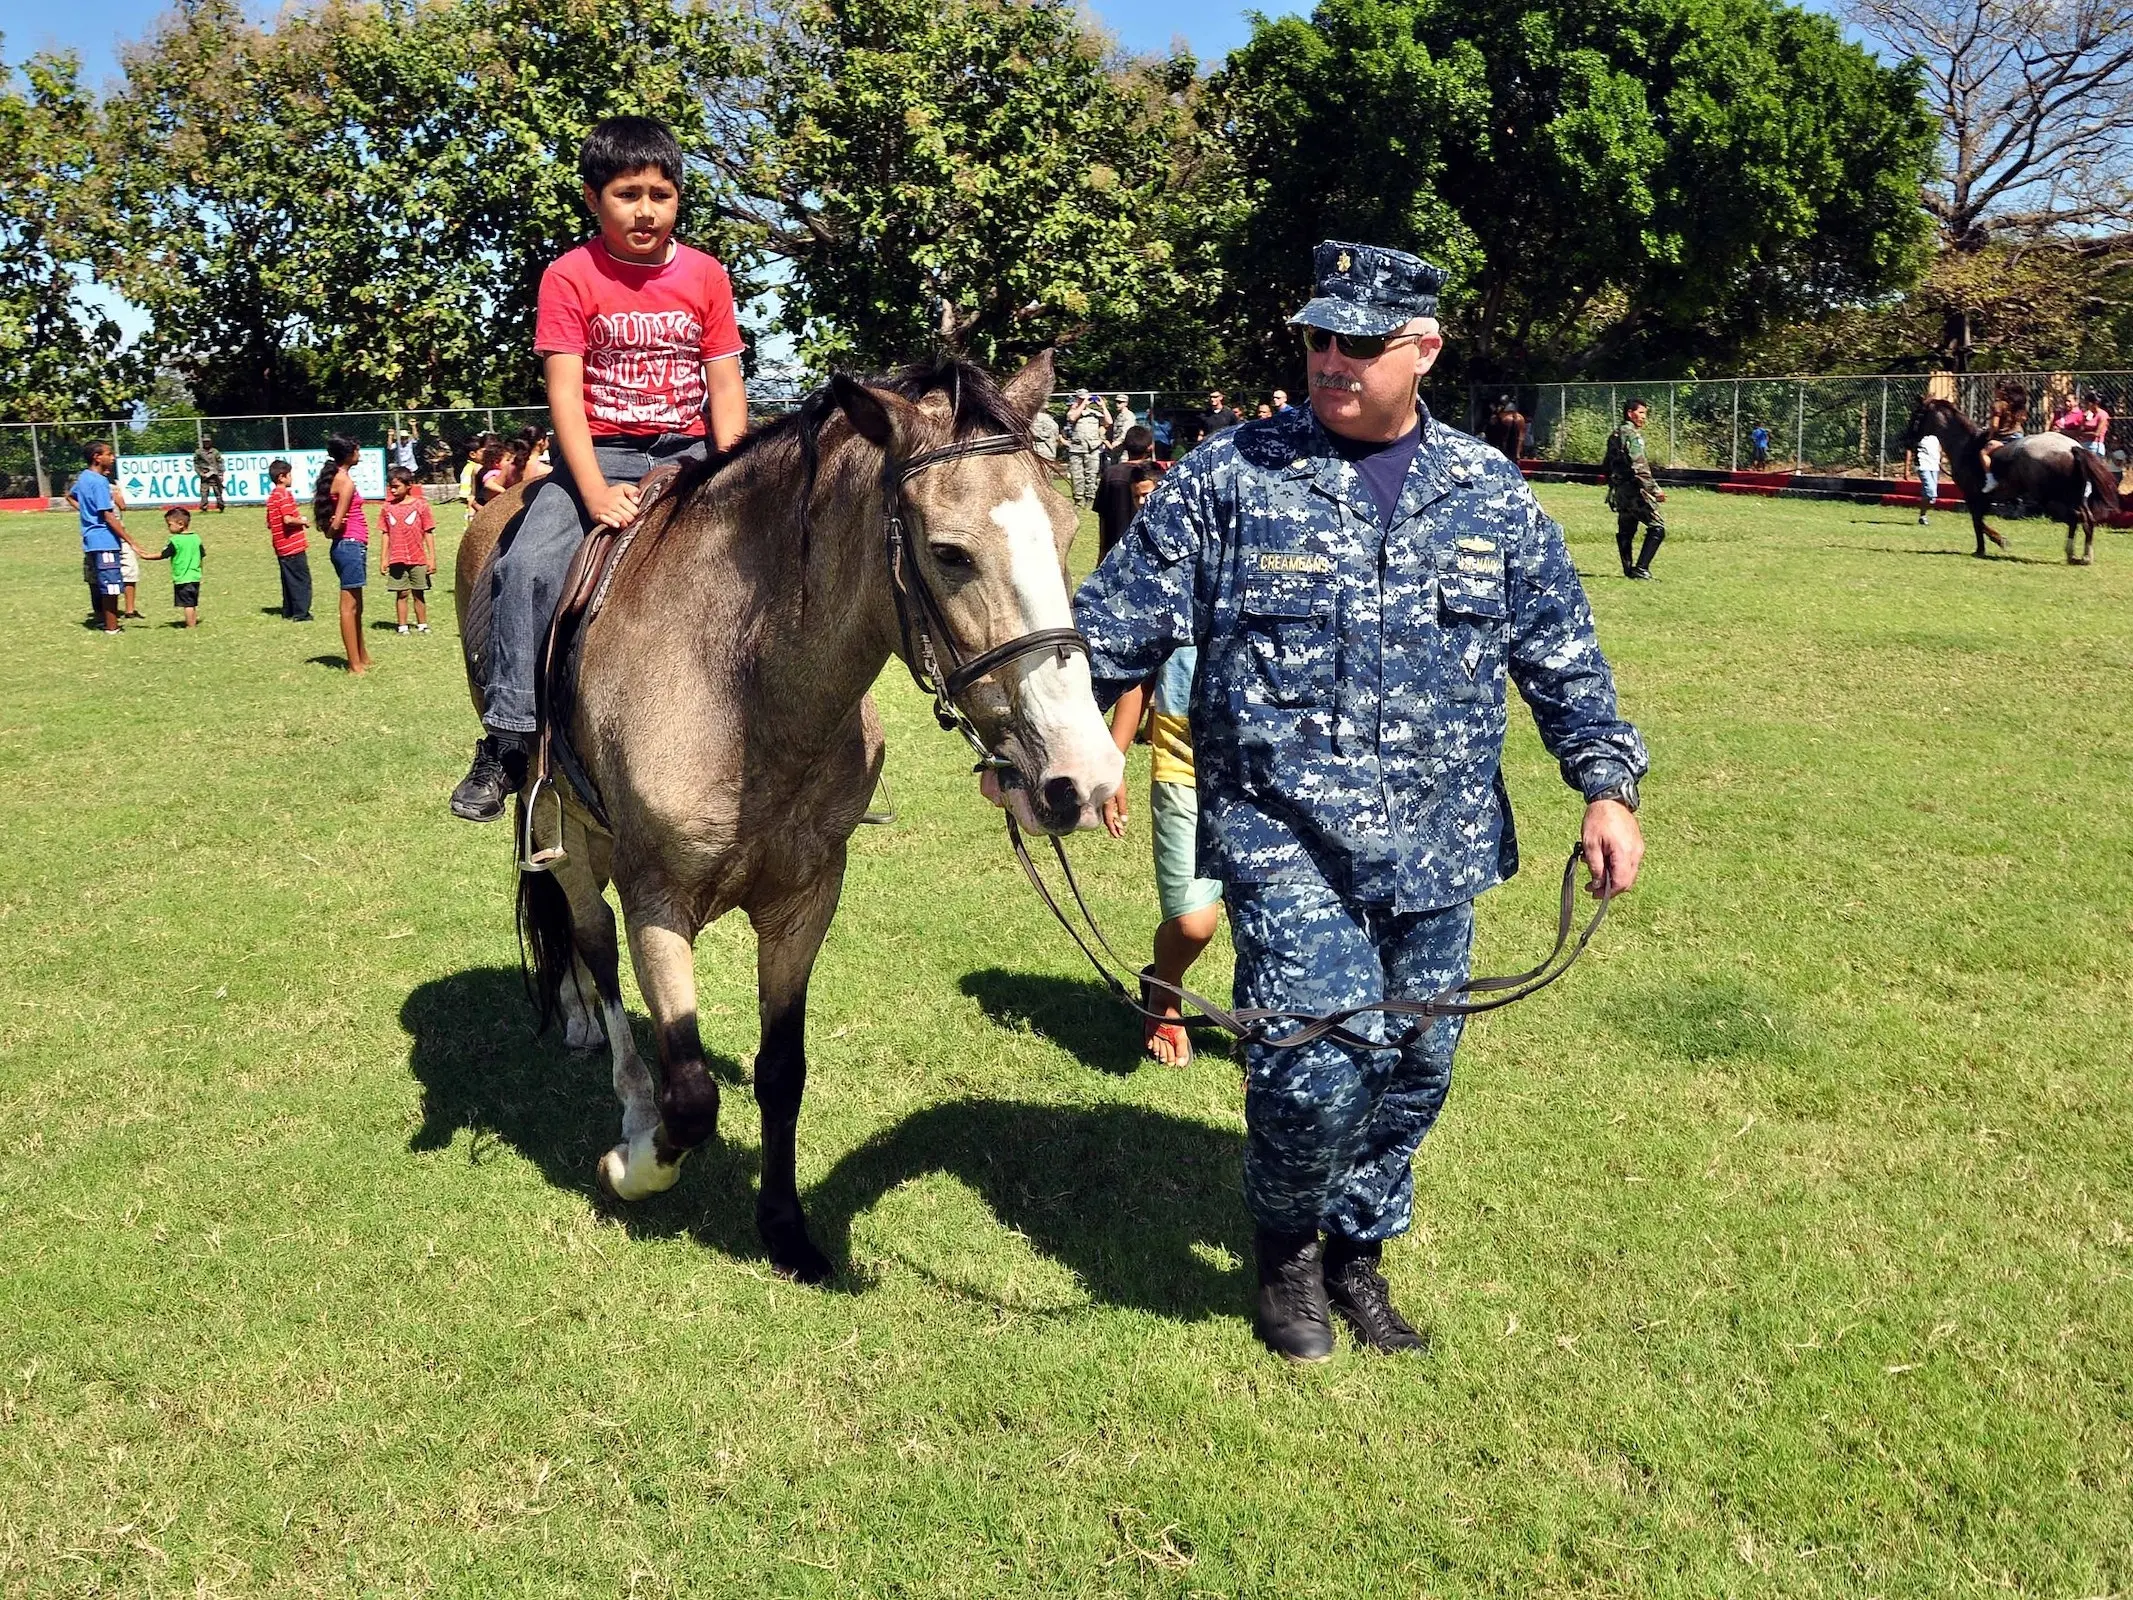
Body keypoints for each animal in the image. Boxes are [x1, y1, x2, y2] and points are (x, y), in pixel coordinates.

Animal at [453, 352, 1123, 1283]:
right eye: (949, 553)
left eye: (1065, 532)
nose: (1082, 777)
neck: (743, 689)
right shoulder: (657, 900)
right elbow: (690, 1093)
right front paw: (633, 1166)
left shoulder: (806, 898)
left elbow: (781, 1070)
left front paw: (784, 1229)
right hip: (566, 823)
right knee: (590, 944)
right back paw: (616, 1080)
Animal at [1902, 396, 2121, 563]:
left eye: (1916, 416)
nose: (1907, 441)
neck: (1966, 447)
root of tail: (2071, 447)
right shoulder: (1983, 499)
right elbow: (1979, 522)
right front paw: (1990, 544)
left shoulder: (1973, 496)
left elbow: (1977, 522)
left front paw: (1991, 545)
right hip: (2074, 496)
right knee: (2085, 519)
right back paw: (2080, 555)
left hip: (2052, 497)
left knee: (2076, 518)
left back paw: (2078, 555)